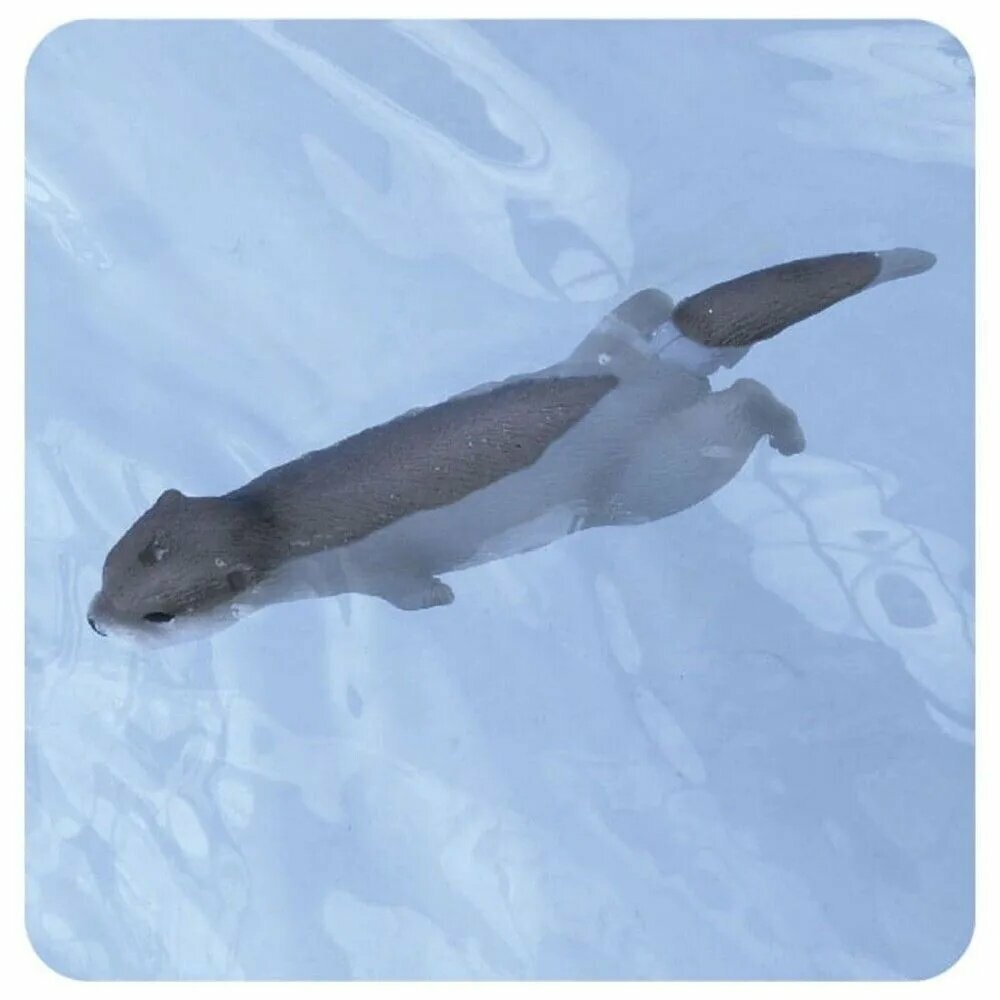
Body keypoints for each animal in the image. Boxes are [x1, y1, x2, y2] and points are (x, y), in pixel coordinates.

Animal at [88, 248, 936, 646]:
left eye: (159, 615)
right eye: (111, 567)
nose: (96, 621)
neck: (280, 524)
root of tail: (660, 366)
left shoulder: (374, 571)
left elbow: (417, 593)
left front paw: (439, 601)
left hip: (653, 477)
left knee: (745, 406)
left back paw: (790, 435)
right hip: (620, 333)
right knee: (655, 305)